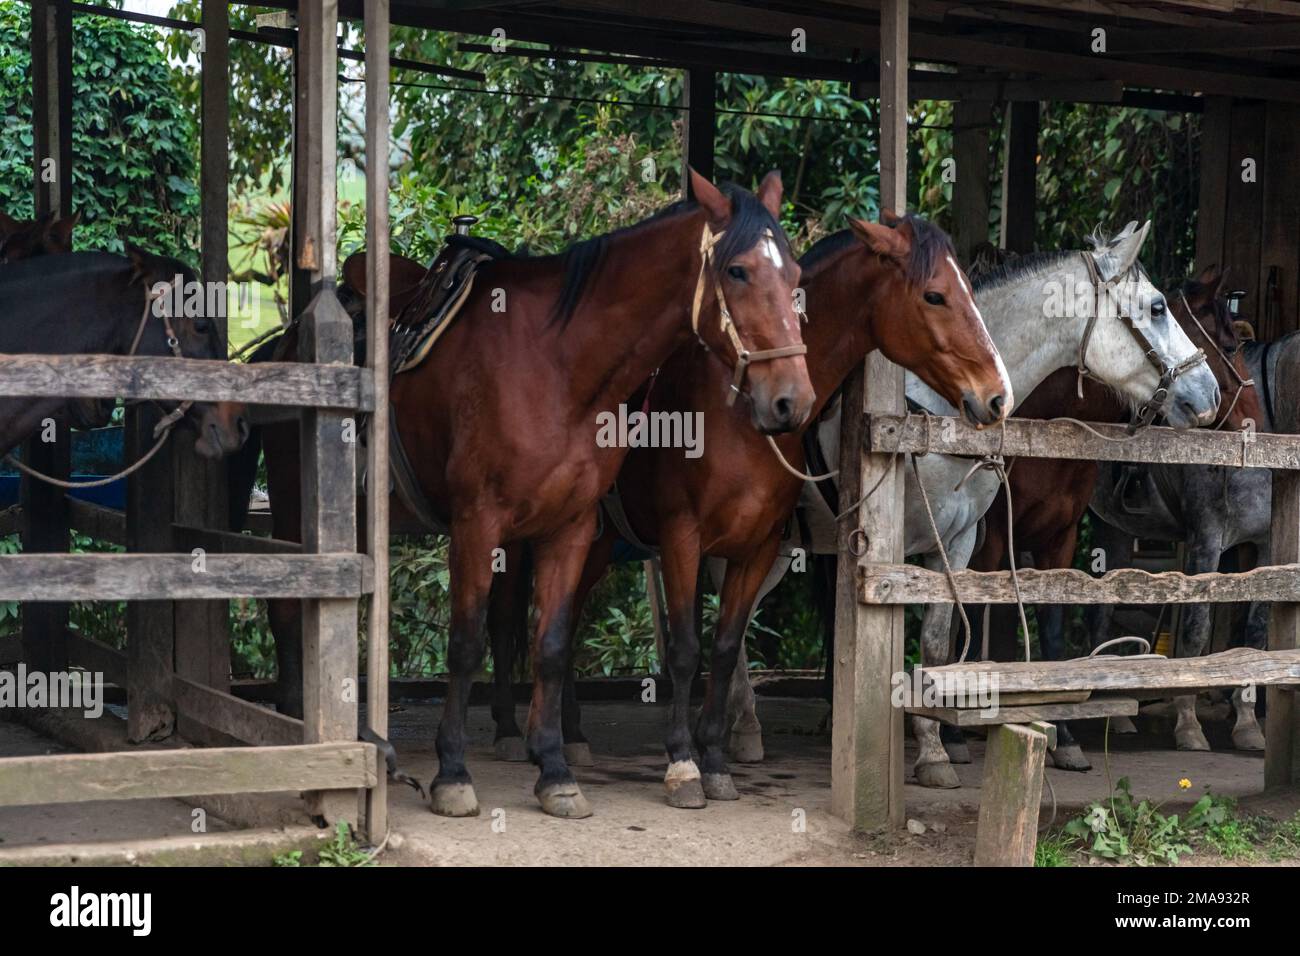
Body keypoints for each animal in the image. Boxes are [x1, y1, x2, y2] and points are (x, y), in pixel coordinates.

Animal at [241, 170, 818, 819]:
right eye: (738, 271)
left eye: (796, 274)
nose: (792, 401)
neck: (558, 367)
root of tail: (286, 343)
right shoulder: (478, 522)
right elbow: (466, 643)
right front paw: (452, 772)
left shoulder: (570, 526)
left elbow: (552, 644)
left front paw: (555, 770)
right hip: (297, 507)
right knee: (289, 608)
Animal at [487, 212, 1013, 808]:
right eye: (935, 295)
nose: (996, 395)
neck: (736, 408)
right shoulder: (684, 537)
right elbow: (687, 649)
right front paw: (683, 763)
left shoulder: (763, 545)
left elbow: (725, 643)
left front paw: (715, 758)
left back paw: (569, 738)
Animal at [966, 267, 1264, 771]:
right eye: (1229, 346)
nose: (1255, 419)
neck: (1046, 421)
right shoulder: (992, 540)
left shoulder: (1060, 539)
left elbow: (1052, 625)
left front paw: (1064, 735)